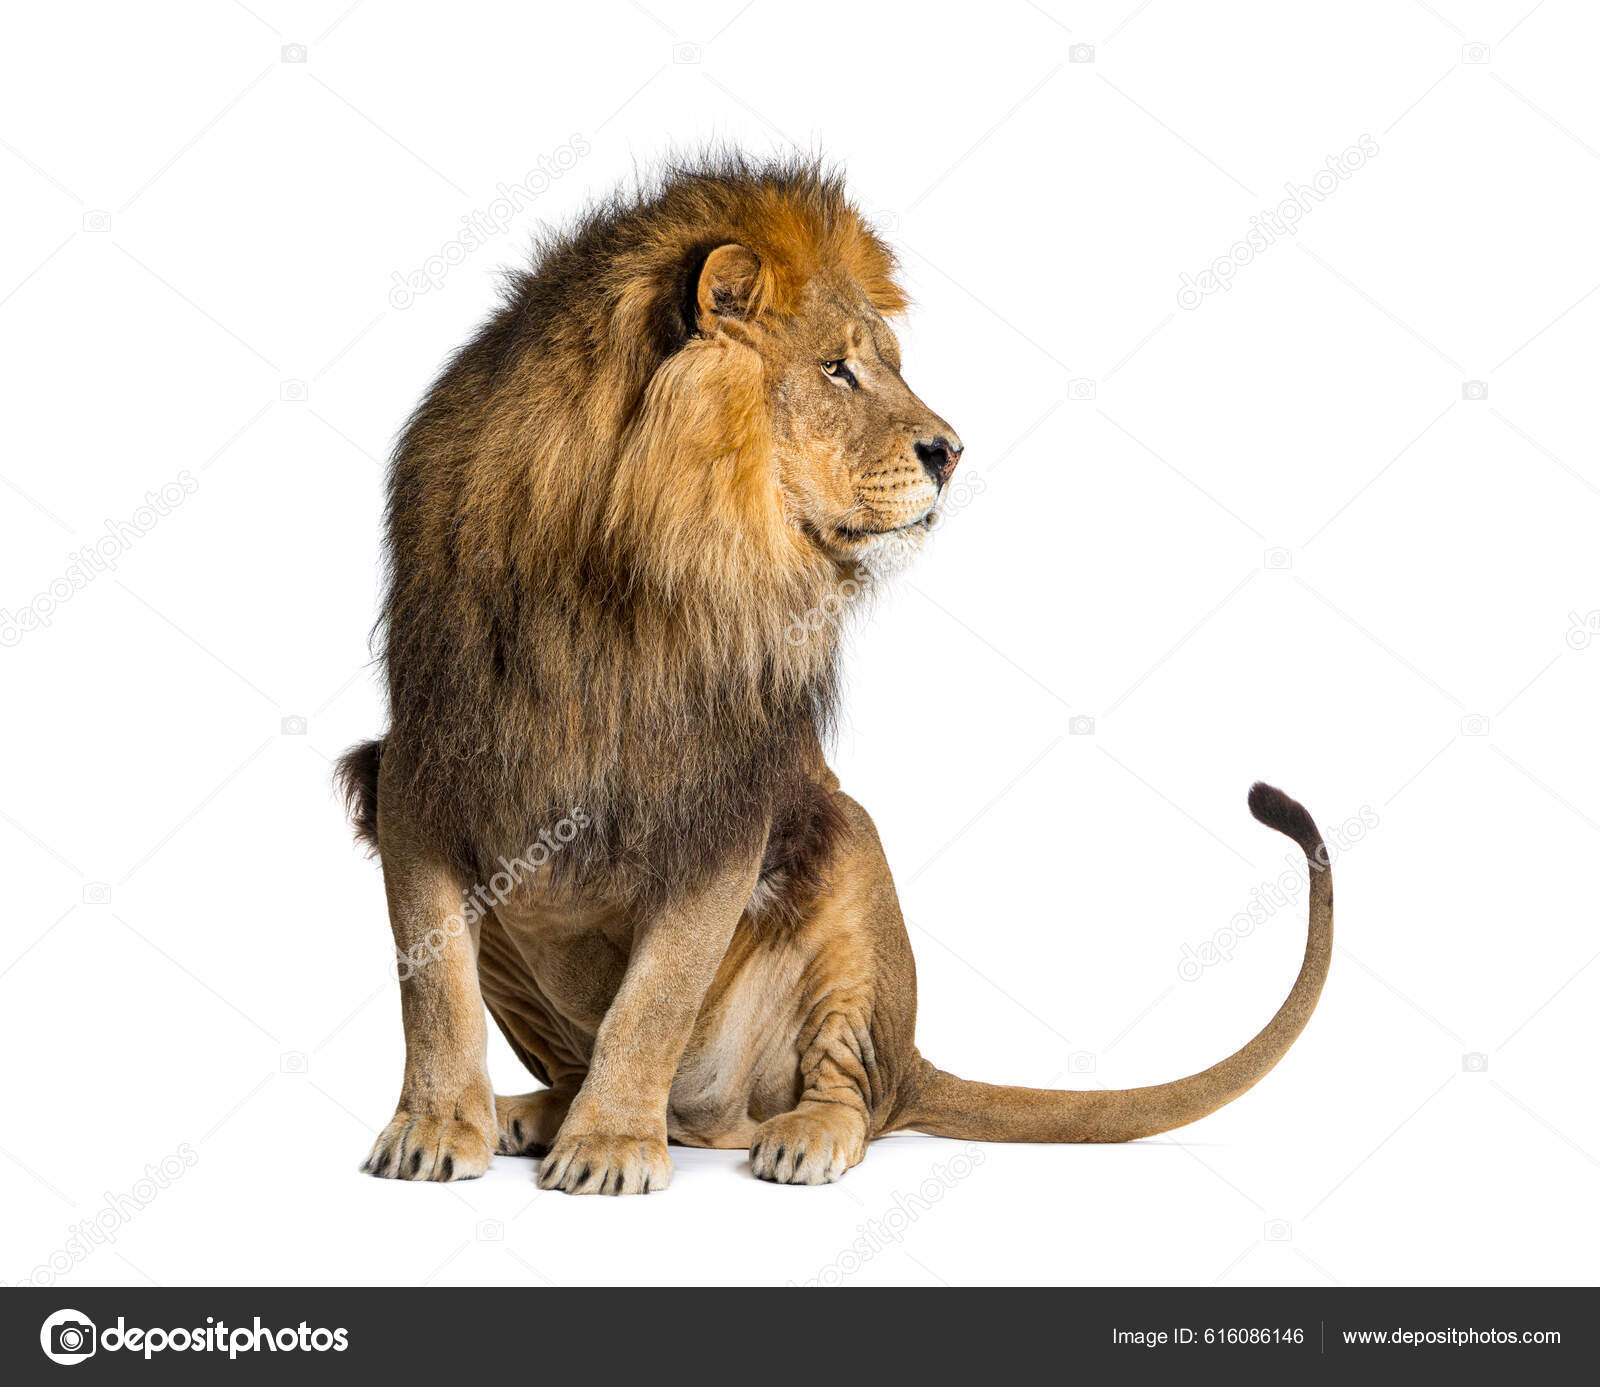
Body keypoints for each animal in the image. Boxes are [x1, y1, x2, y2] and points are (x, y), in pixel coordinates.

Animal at [336, 156, 1332, 1193]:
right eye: (837, 369)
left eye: (886, 362)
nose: (953, 452)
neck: (618, 571)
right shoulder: (417, 767)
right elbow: (432, 982)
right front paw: (437, 1127)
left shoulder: (727, 798)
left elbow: (653, 998)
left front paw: (609, 1145)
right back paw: (532, 1112)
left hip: (847, 850)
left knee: (850, 1089)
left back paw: (792, 1135)